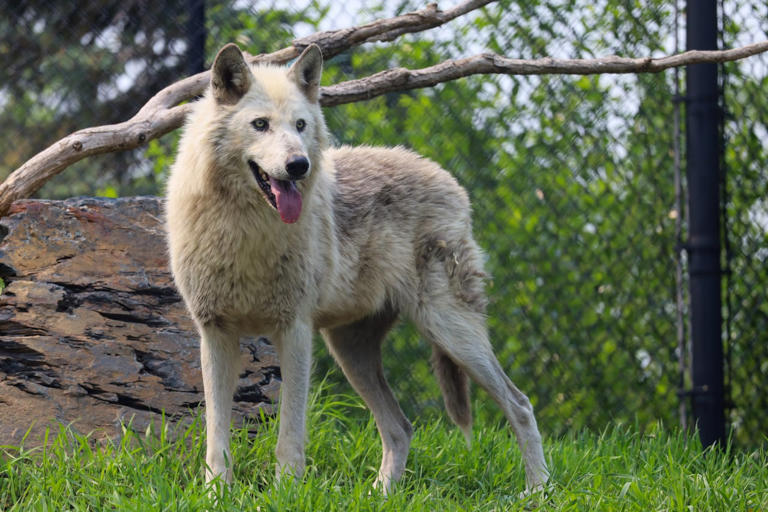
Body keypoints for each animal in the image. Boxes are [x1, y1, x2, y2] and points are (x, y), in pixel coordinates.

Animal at [165, 42, 549, 495]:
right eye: (260, 125)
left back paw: (538, 491)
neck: (245, 230)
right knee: (401, 427)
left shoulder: (294, 331)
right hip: (353, 352)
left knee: (520, 404)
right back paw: (382, 494)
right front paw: (216, 493)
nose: (298, 165)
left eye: (300, 125)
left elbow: (289, 434)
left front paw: (287, 492)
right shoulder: (215, 334)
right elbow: (216, 435)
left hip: (450, 332)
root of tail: (447, 178)